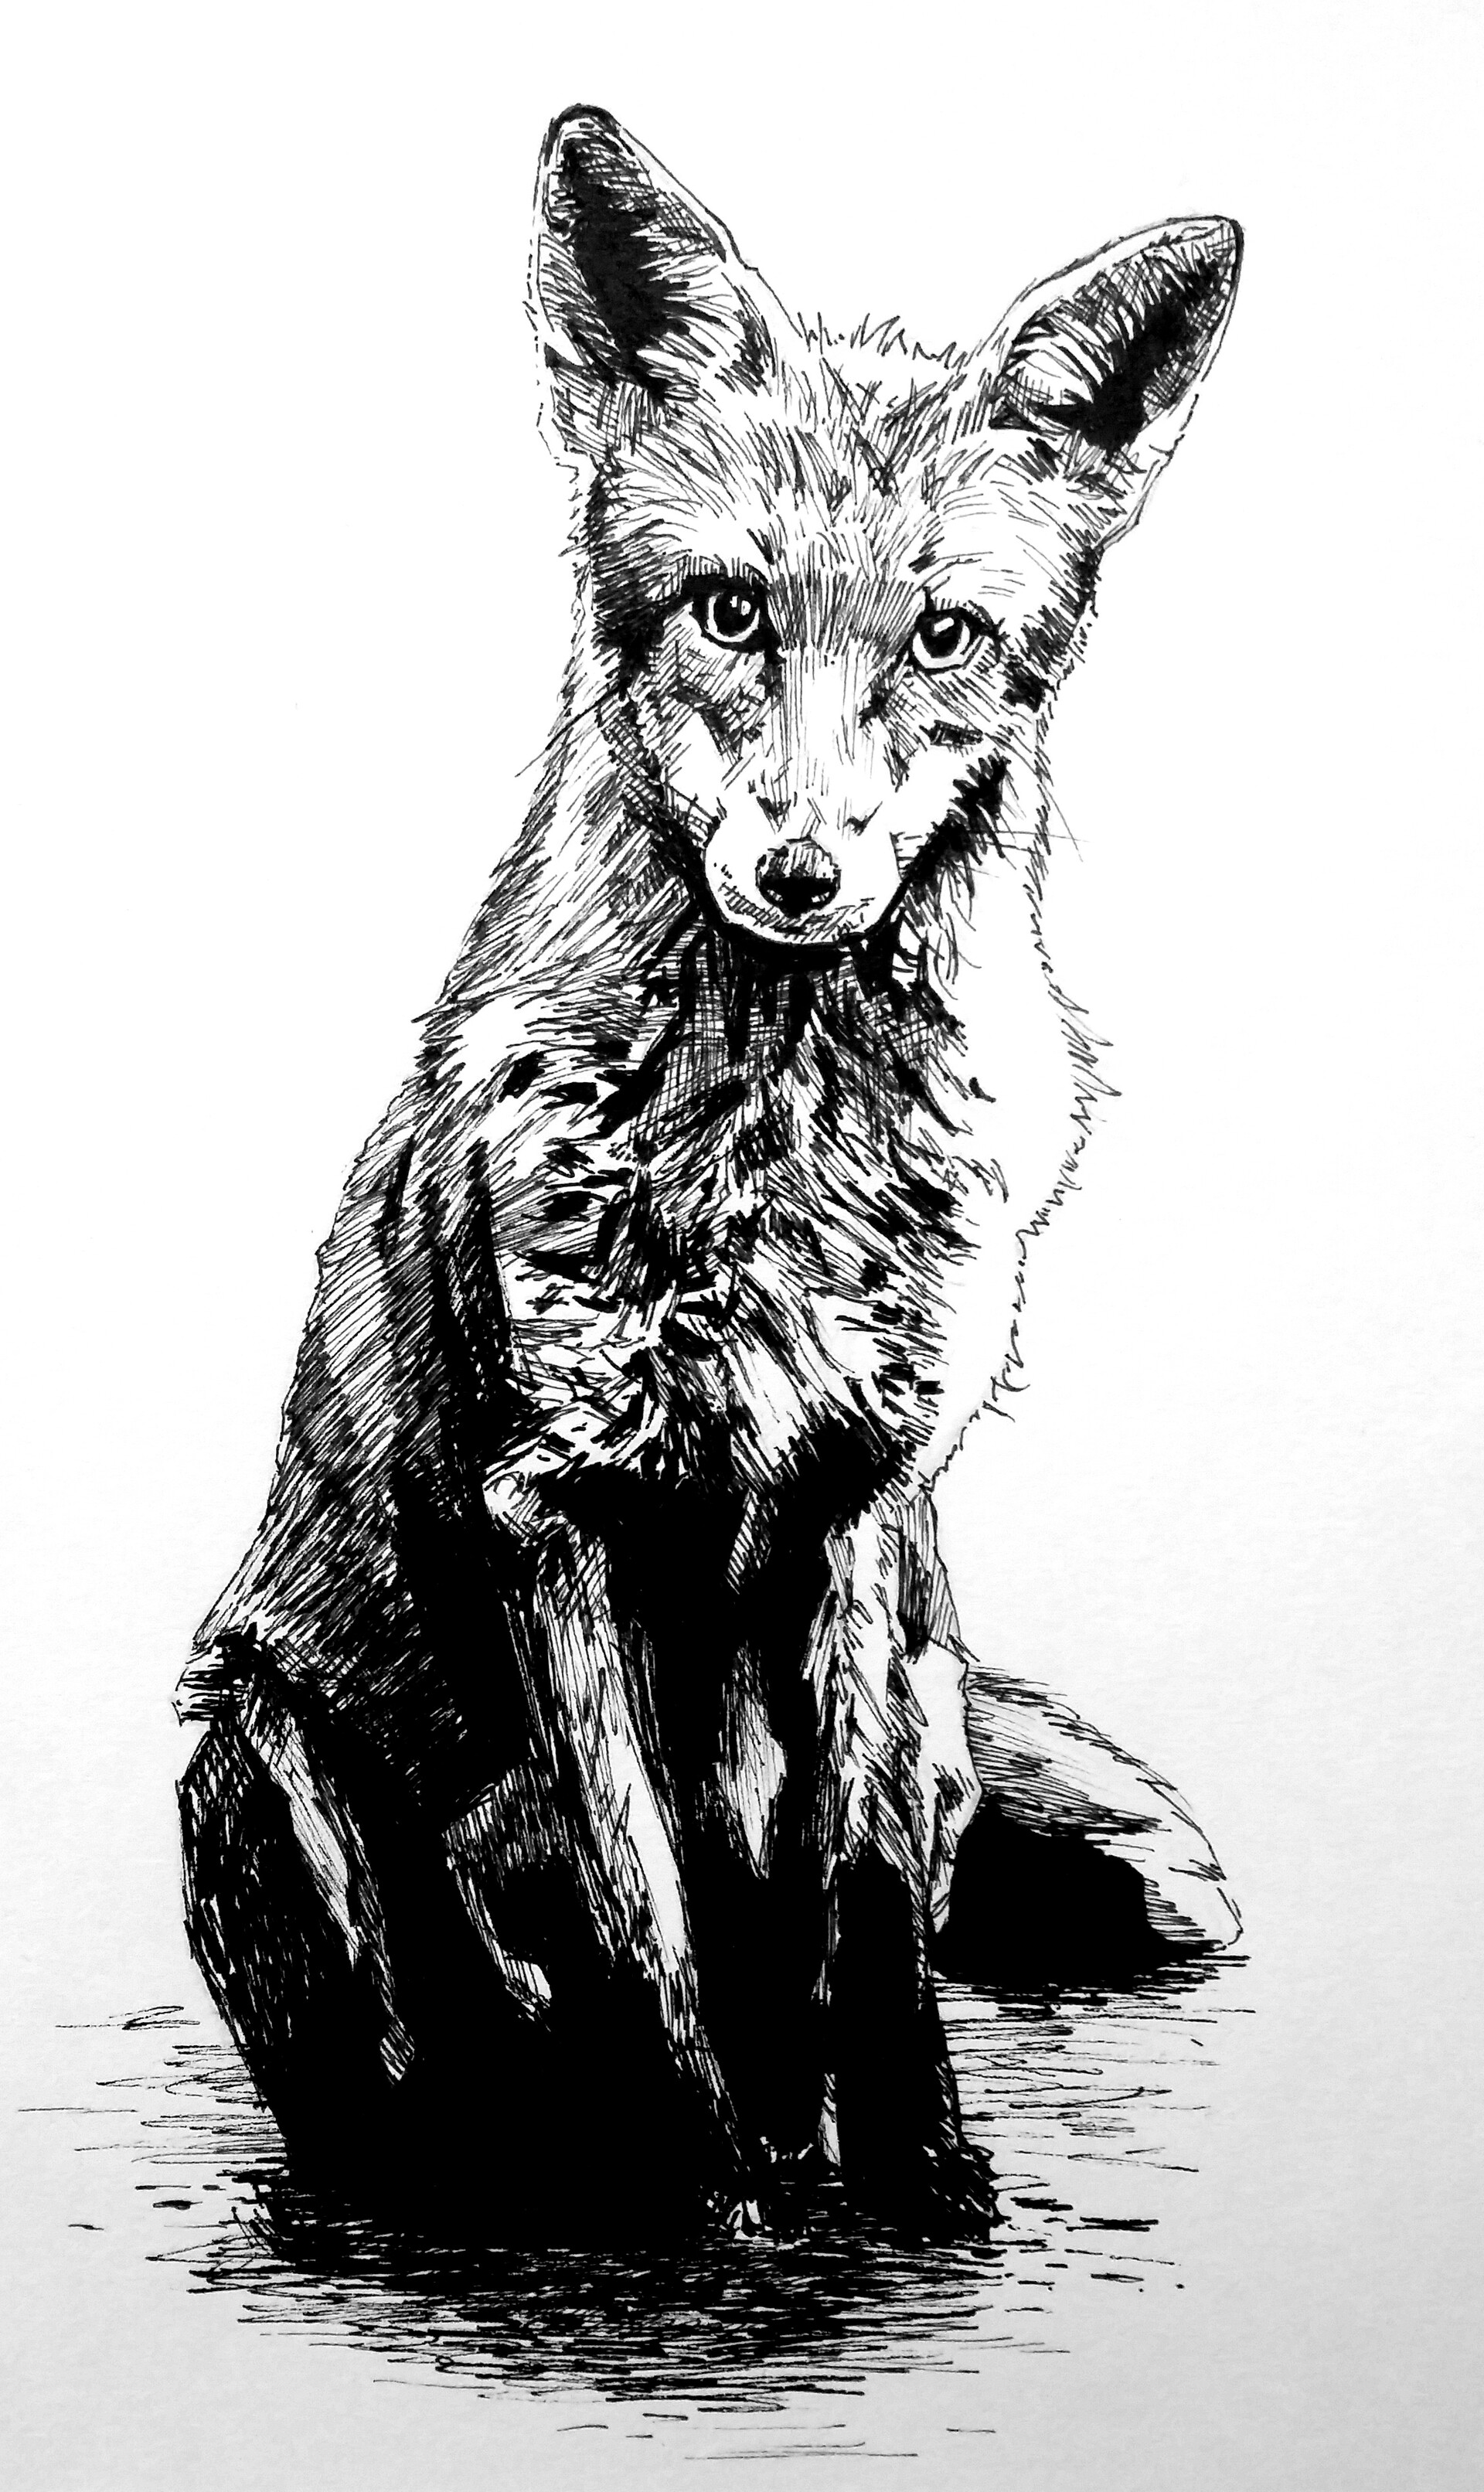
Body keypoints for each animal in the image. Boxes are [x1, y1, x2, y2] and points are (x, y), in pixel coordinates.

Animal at [178, 105, 1242, 2238]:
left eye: (944, 636)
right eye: (730, 609)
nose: (803, 874)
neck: (778, 1167)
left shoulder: (868, 1499)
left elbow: (862, 1911)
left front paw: (916, 2180)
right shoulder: (559, 1510)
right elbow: (647, 1909)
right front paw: (714, 2200)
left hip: (933, 1684)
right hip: (259, 1756)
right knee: (407, 2078)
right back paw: (497, 2165)